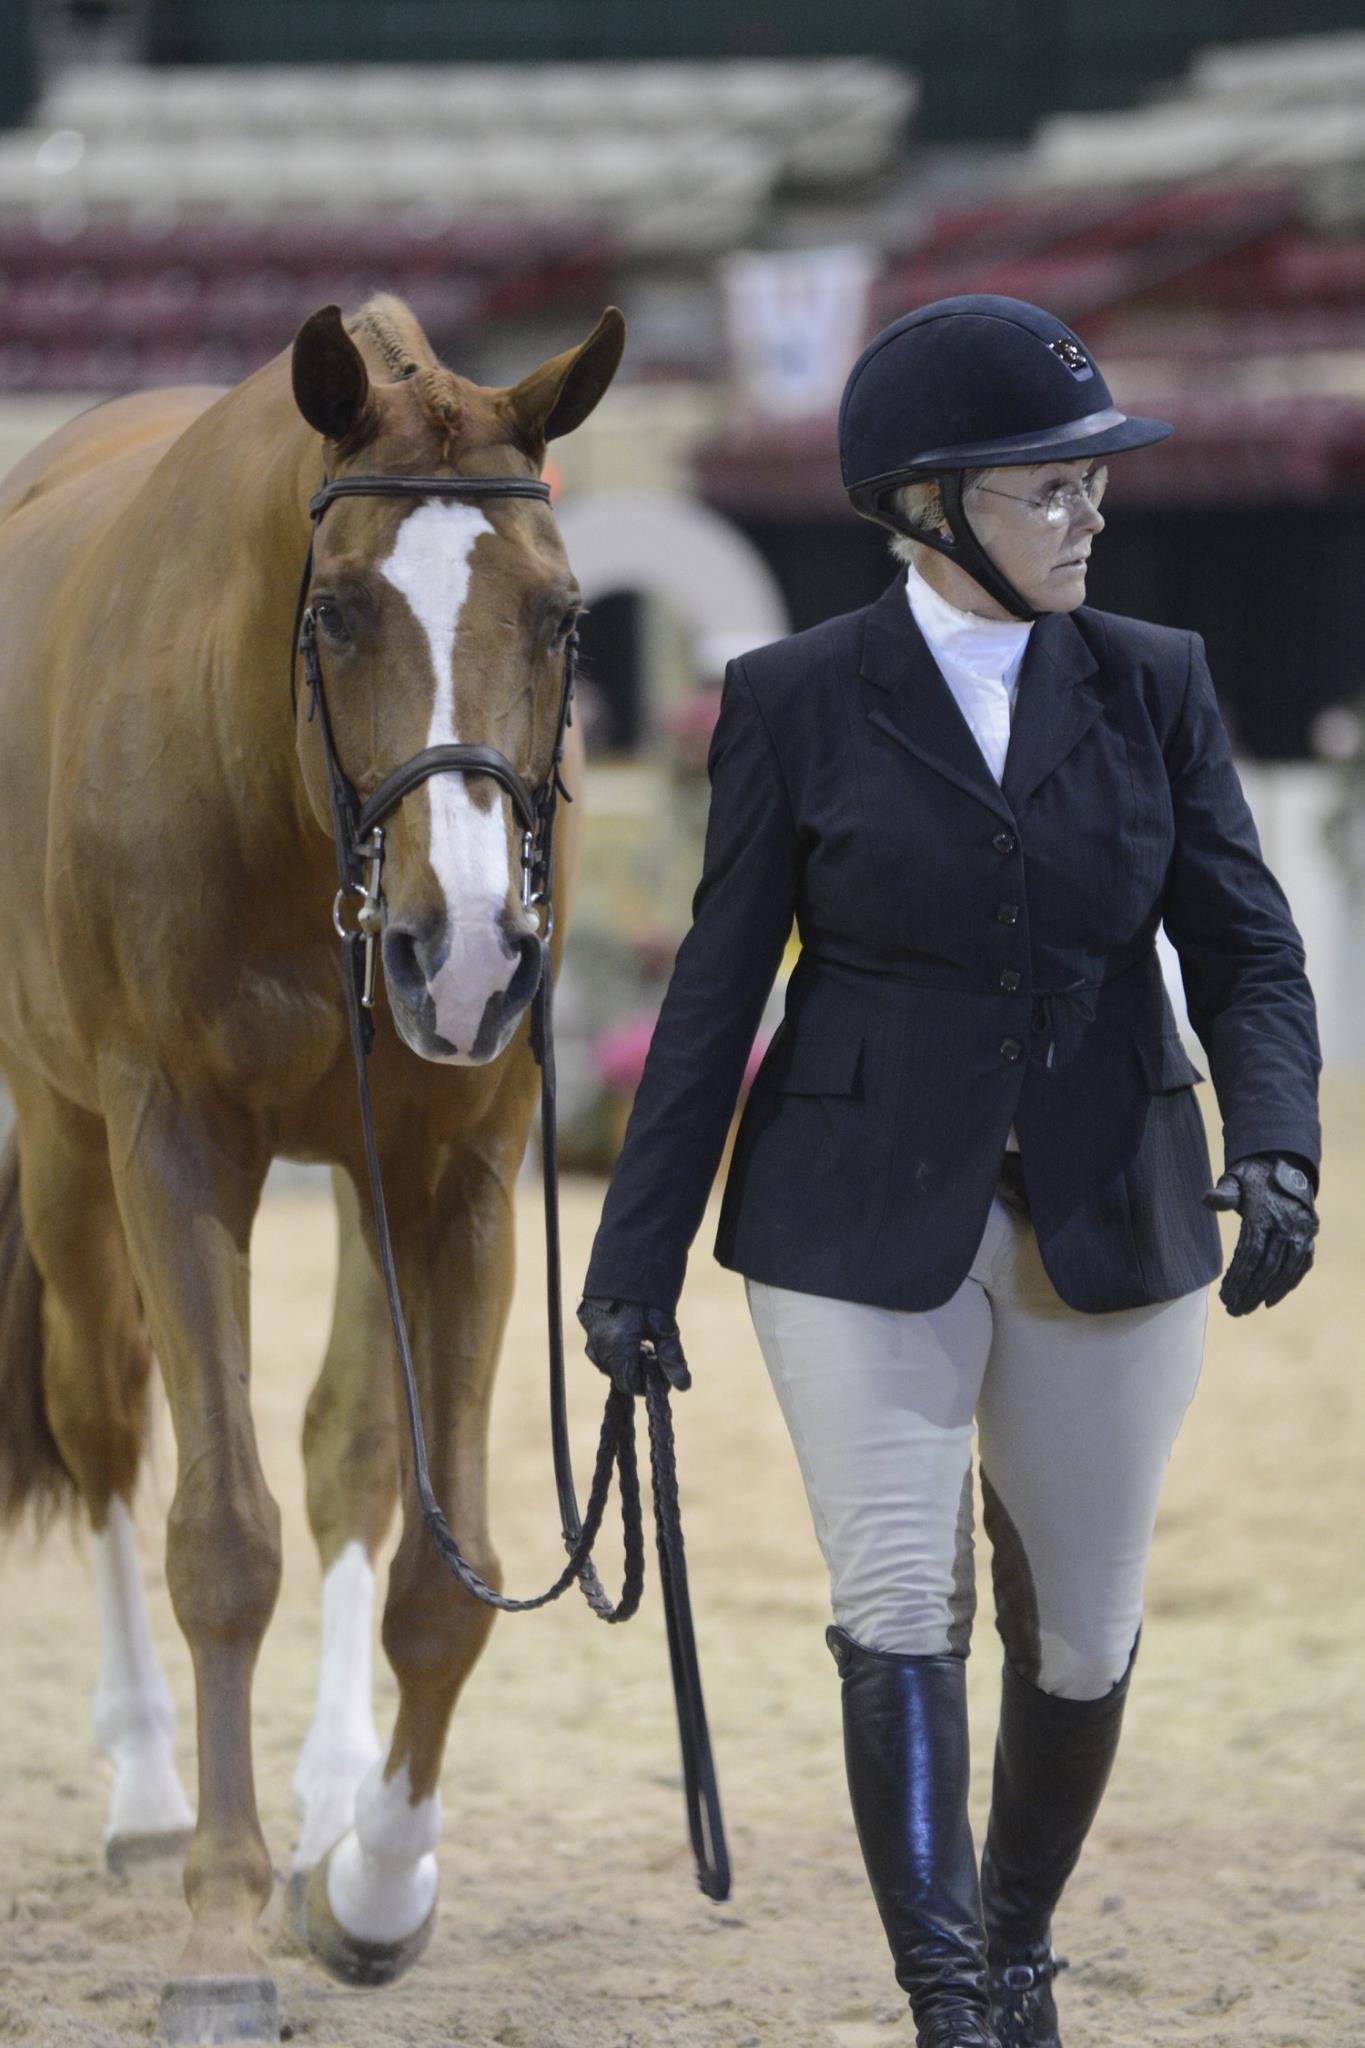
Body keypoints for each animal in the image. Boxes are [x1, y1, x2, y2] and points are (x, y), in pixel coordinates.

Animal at [0, 290, 623, 2042]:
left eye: (560, 617)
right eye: (336, 612)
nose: (467, 952)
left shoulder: (459, 1176)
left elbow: (444, 1564)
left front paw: (374, 1884)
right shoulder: (172, 1148)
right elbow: (218, 1538)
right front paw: (218, 1929)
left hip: (358, 1164)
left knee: (352, 1449)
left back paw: (333, 1795)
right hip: (66, 1147)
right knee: (99, 1421)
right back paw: (149, 1796)